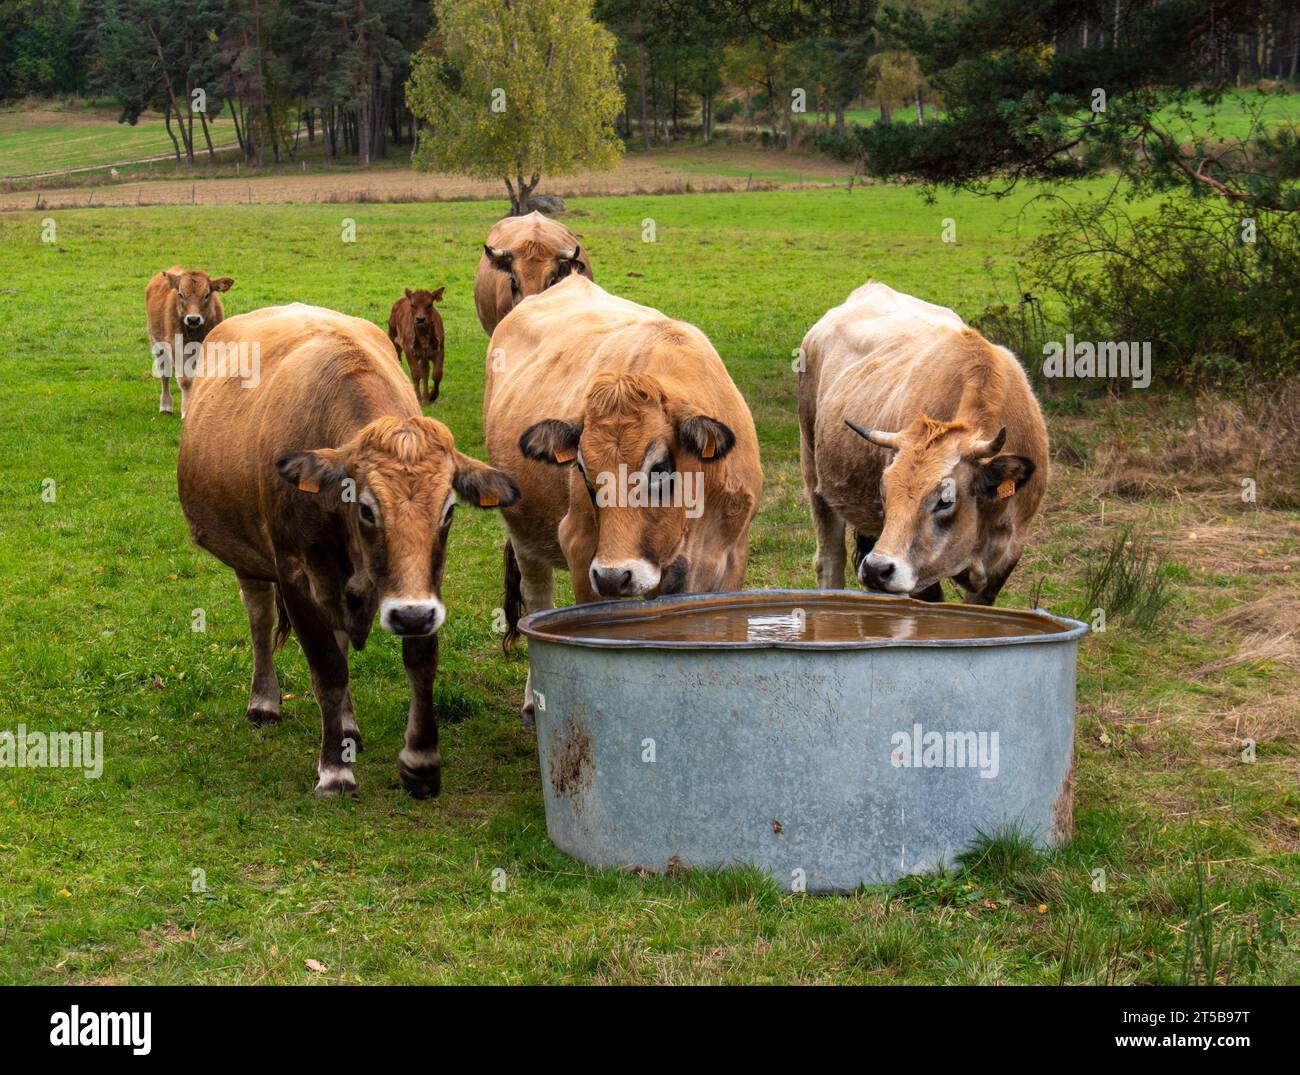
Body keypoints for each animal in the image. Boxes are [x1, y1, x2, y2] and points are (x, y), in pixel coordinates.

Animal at [146, 265, 233, 417]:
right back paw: (165, 406)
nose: (193, 319)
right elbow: (185, 380)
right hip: (157, 344)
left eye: (206, 294)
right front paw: (186, 411)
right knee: (164, 374)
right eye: (180, 294)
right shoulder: (176, 348)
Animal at [177, 303, 520, 798]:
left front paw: (420, 761)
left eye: (450, 510)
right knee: (260, 618)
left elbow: (419, 661)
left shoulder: (423, 587)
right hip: (250, 556)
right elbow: (328, 669)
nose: (409, 616)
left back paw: (348, 726)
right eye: (366, 508)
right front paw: (334, 771)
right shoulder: (296, 575)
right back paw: (265, 701)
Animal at [484, 274, 762, 720]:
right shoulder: (582, 549)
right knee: (537, 596)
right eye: (581, 470)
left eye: (660, 468)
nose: (616, 575)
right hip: (525, 536)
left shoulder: (730, 556)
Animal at [798, 282, 1048, 605]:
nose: (877, 569)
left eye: (946, 499)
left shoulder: (1006, 557)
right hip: (815, 476)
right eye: (884, 492)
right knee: (830, 561)